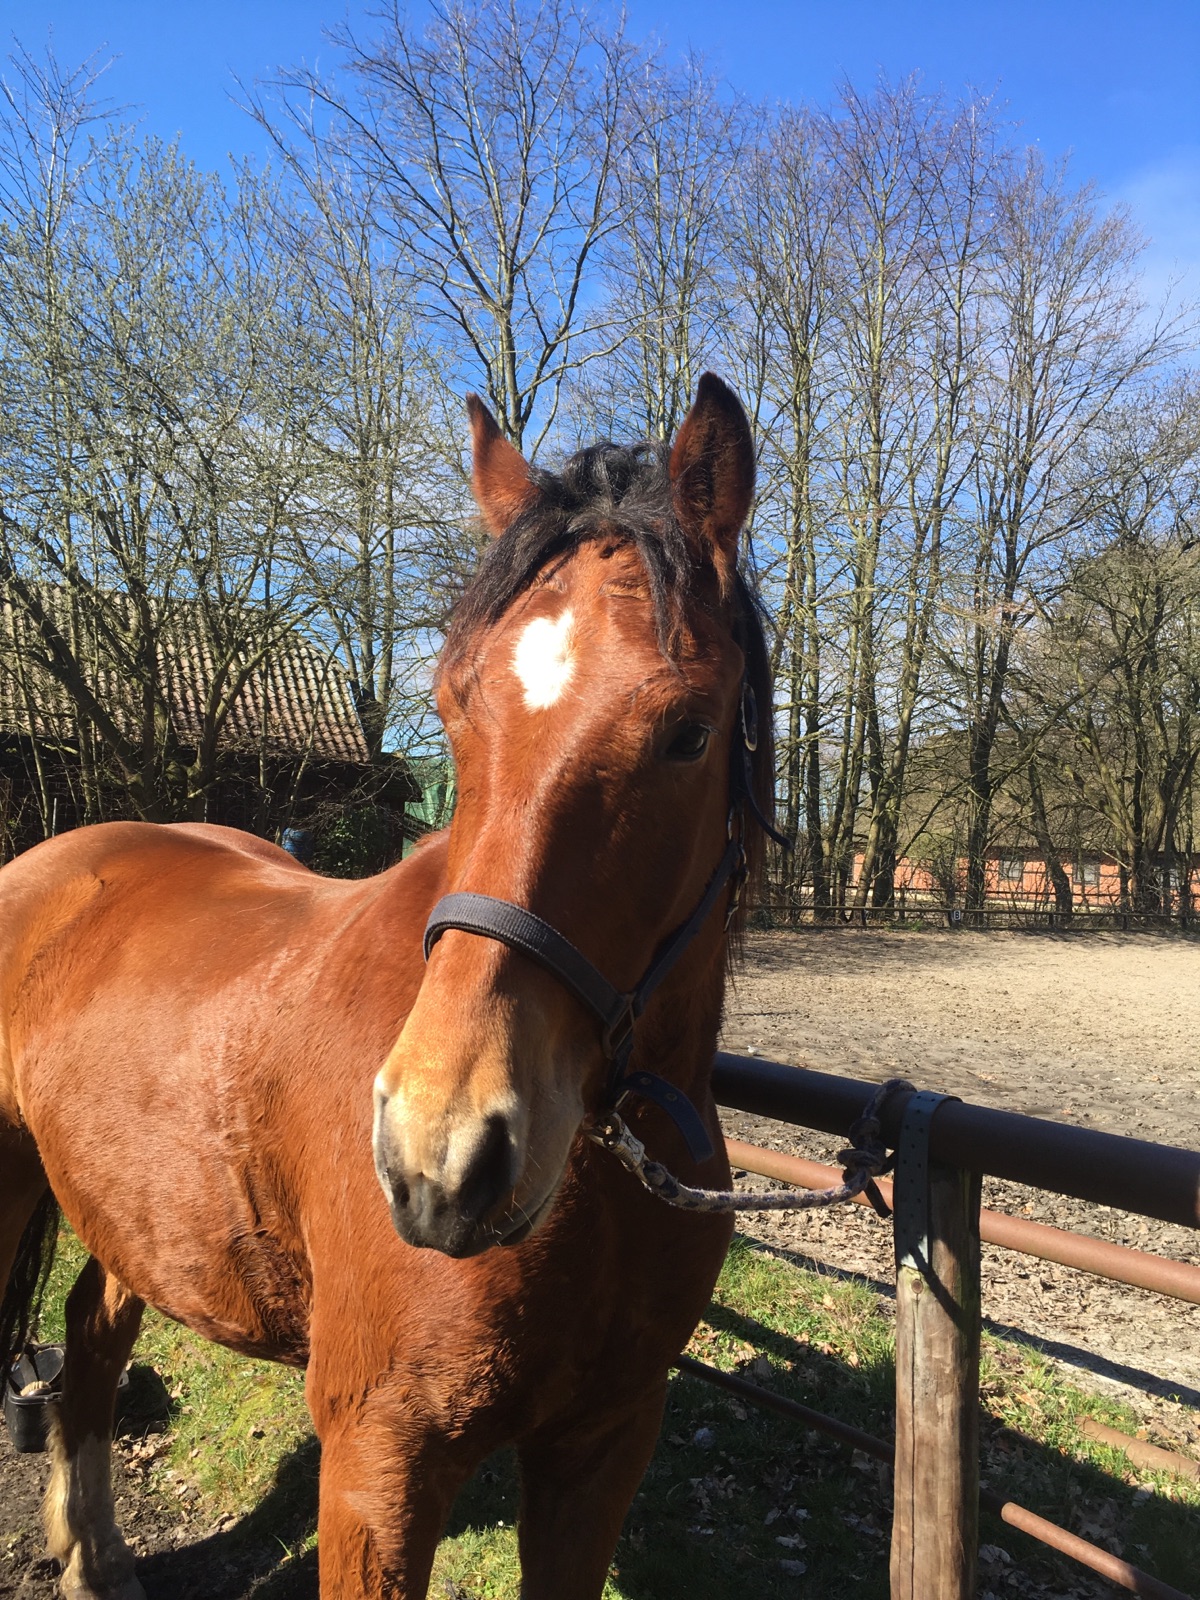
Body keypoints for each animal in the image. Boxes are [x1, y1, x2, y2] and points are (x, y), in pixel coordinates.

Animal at [0, 372, 775, 1599]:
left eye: (689, 733)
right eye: (456, 713)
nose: (440, 1155)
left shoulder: (603, 1444)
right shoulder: (381, 1462)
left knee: (91, 1330)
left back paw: (96, 1552)